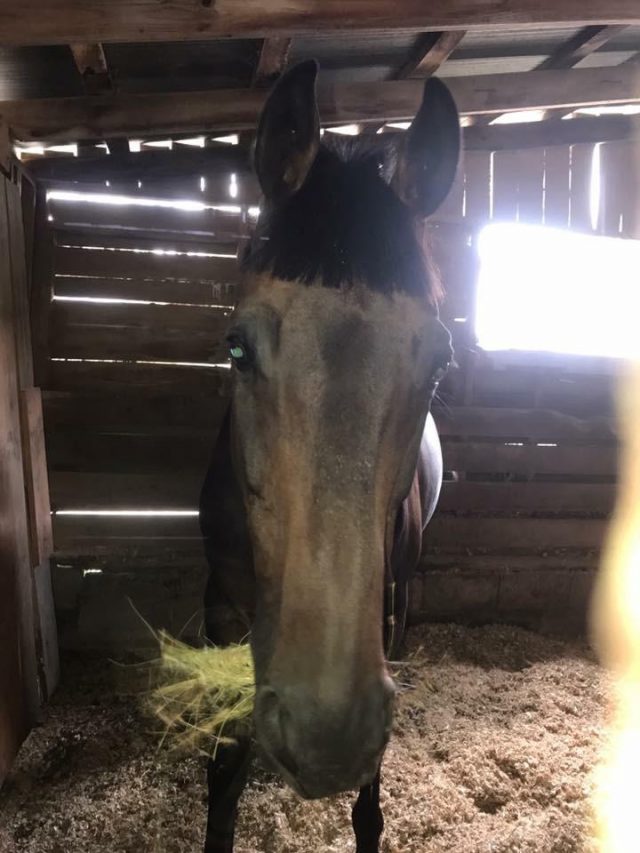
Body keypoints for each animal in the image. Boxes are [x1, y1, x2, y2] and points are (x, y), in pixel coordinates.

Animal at [199, 60, 460, 853]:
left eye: (437, 364)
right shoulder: (220, 603)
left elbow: (368, 802)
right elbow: (224, 774)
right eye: (236, 348)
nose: (325, 738)